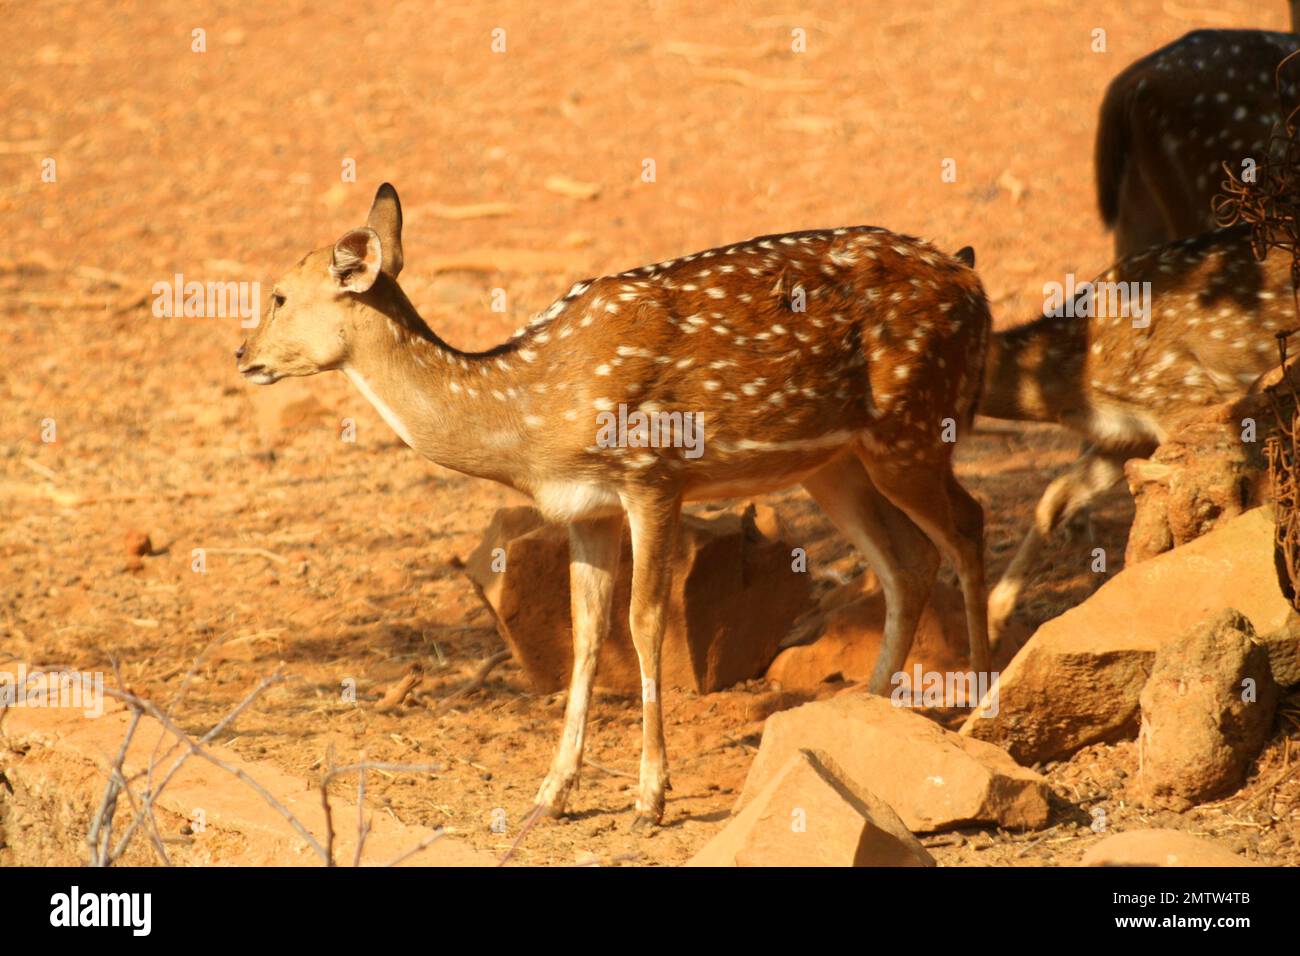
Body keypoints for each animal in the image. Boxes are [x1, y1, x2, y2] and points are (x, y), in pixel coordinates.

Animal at [236, 183, 993, 826]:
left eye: (279, 296)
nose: (242, 353)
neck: (529, 415)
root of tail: (973, 283)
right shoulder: (586, 508)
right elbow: (587, 632)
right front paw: (551, 795)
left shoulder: (652, 473)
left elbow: (645, 621)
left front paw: (650, 798)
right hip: (834, 462)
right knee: (908, 561)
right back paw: (863, 714)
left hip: (914, 422)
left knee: (968, 525)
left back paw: (981, 714)